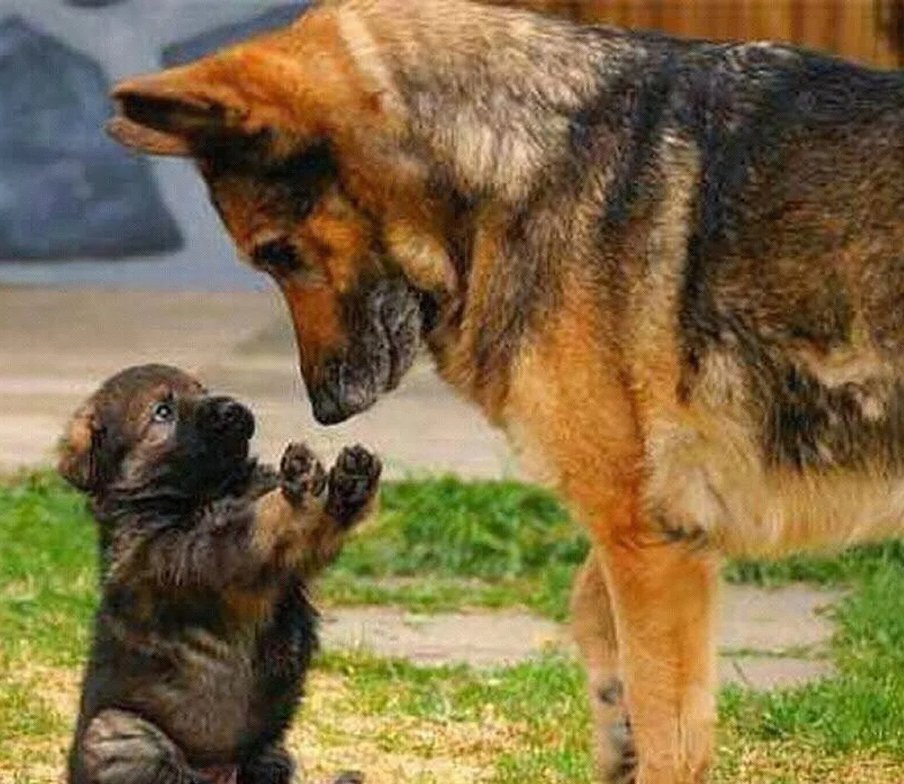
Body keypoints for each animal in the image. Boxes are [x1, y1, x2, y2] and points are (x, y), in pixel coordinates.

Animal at [59, 368, 378, 784]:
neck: (211, 491)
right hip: (114, 734)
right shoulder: (210, 553)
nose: (234, 409)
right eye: (163, 412)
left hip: (270, 752)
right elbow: (265, 518)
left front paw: (349, 483)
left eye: (202, 390)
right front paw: (302, 490)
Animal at [106, 3, 904, 780]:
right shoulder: (646, 537)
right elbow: (592, 621)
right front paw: (613, 730)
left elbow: (665, 726)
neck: (506, 173)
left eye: (277, 253)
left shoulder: (644, 541)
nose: (327, 408)